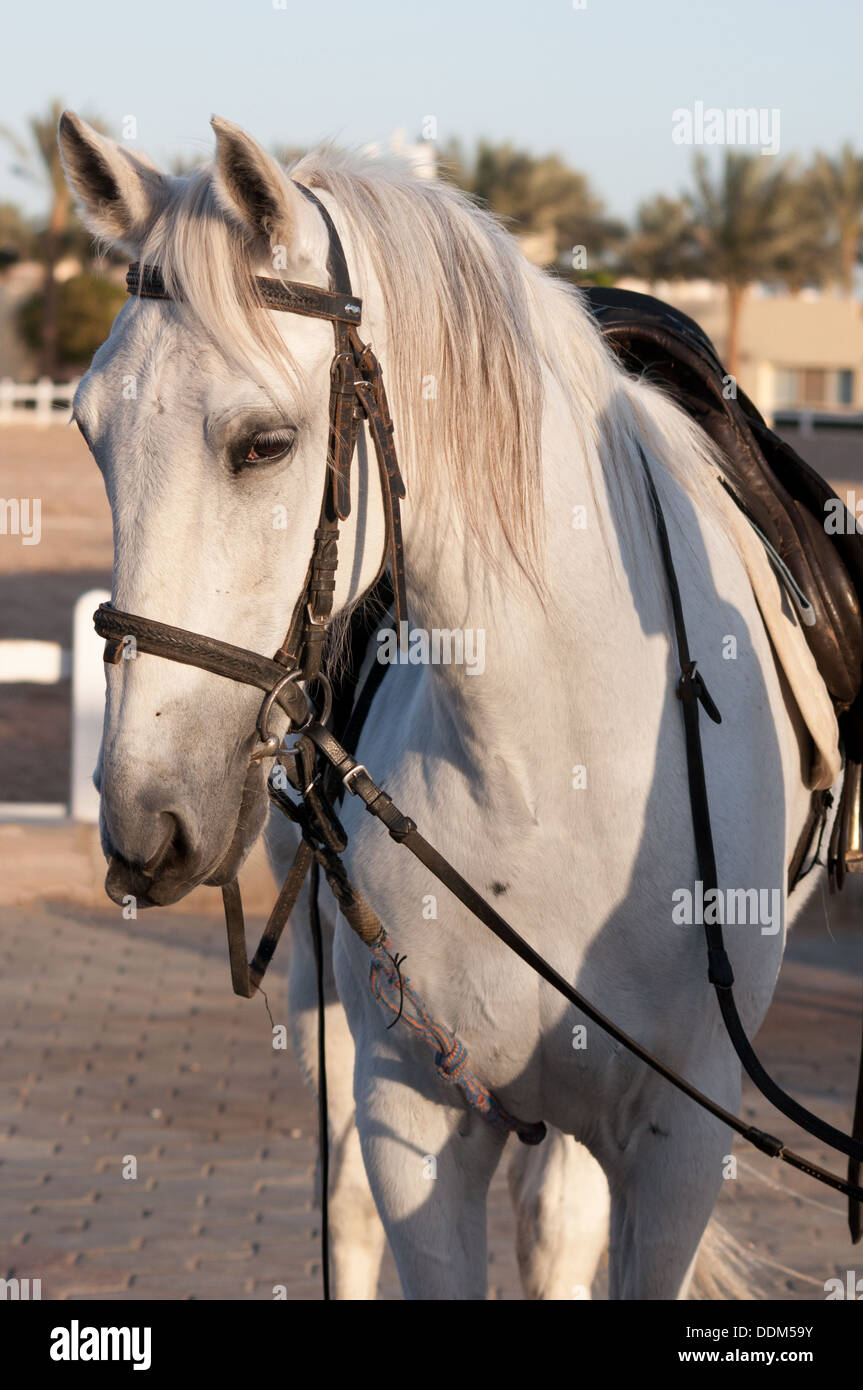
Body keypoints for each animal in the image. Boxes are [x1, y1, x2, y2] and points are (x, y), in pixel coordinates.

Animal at [58, 110, 827, 1300]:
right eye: (90, 431)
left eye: (262, 445)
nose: (146, 822)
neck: (559, 768)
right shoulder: (410, 1115)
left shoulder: (678, 1141)